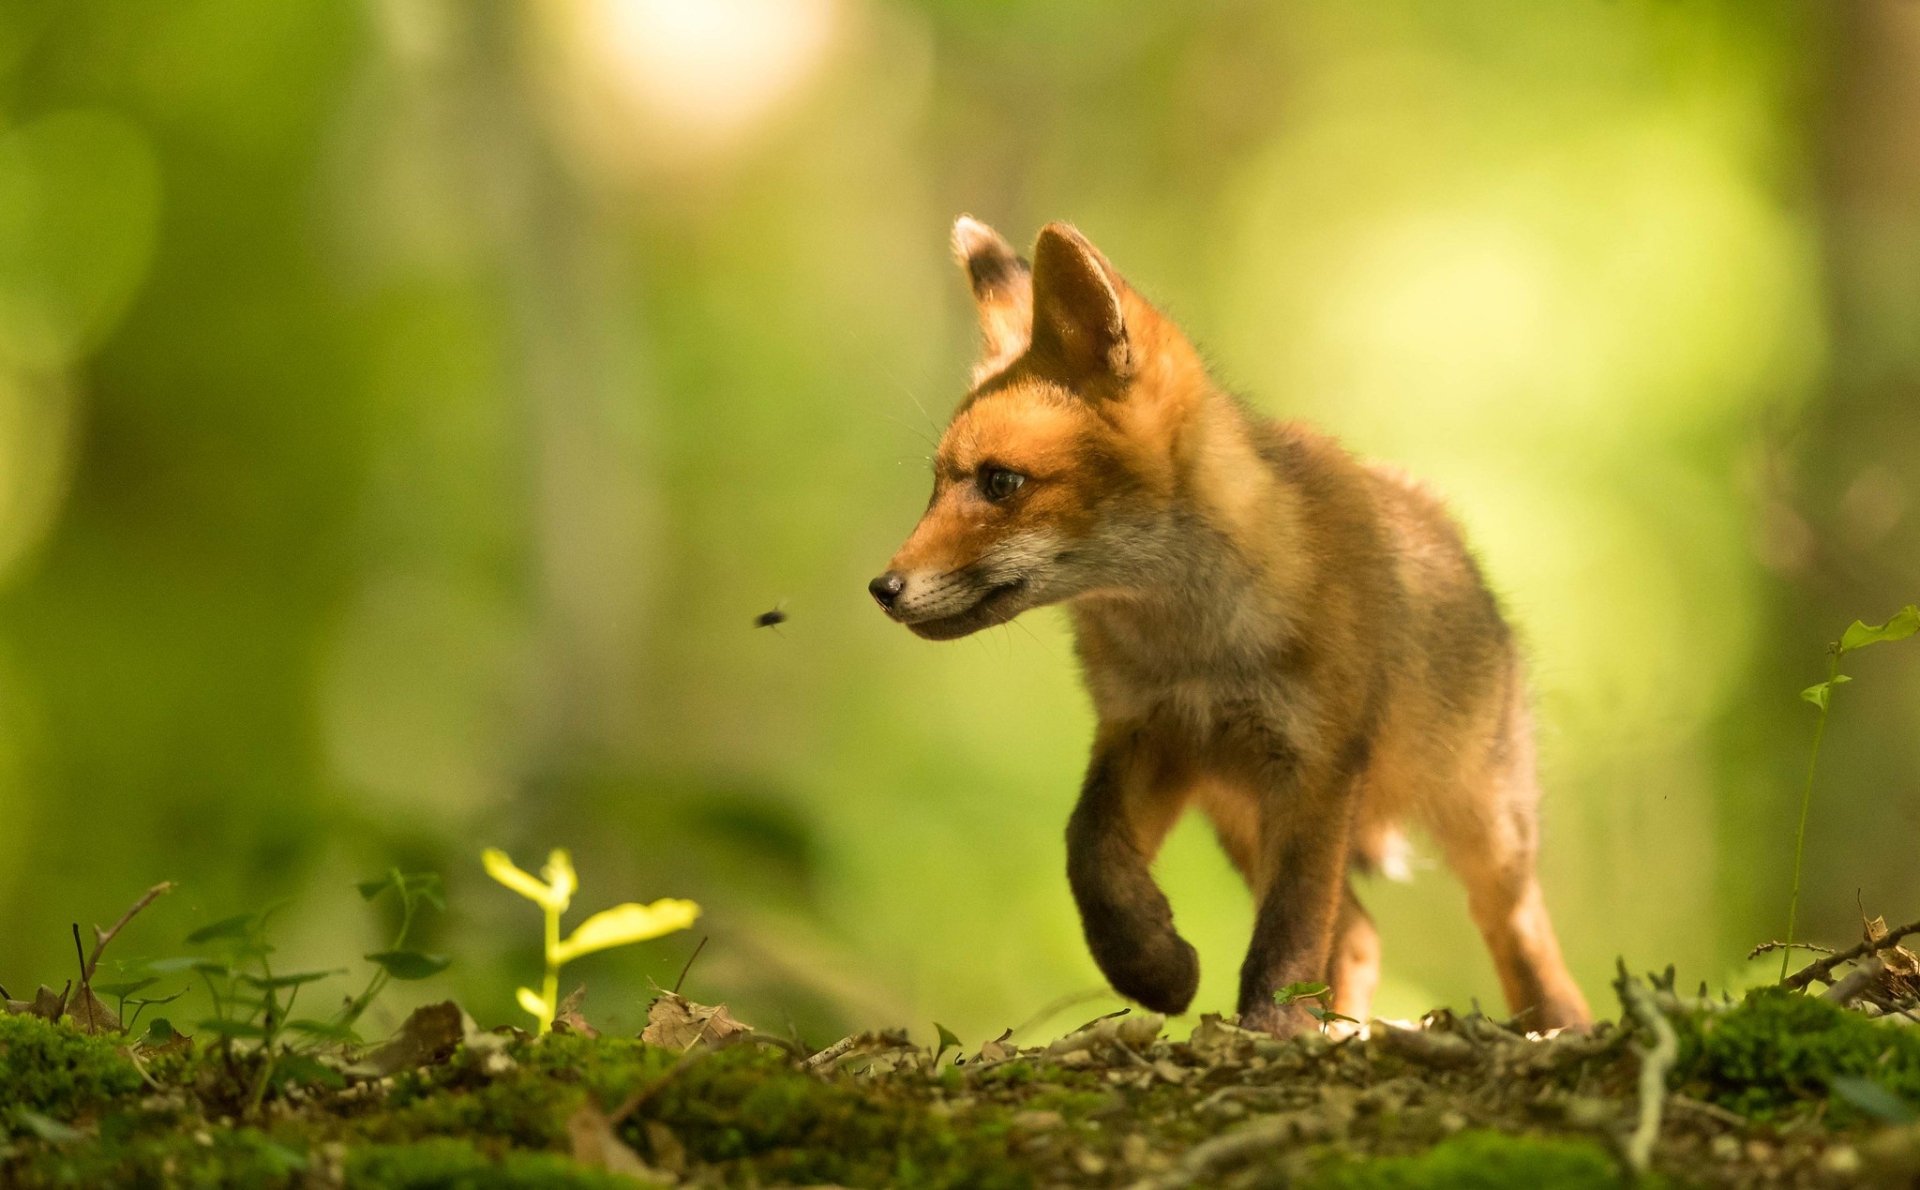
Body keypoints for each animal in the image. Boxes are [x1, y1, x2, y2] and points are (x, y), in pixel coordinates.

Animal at [869, 217, 1592, 1037]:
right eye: (935, 486)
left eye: (1000, 482)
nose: (882, 589)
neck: (1194, 647)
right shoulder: (1148, 733)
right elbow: (1089, 852)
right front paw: (1151, 963)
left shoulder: (1315, 763)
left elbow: (1288, 933)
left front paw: (1269, 1028)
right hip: (1240, 816)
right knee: (1360, 938)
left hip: (1483, 816)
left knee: (1515, 922)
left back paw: (1559, 1020)